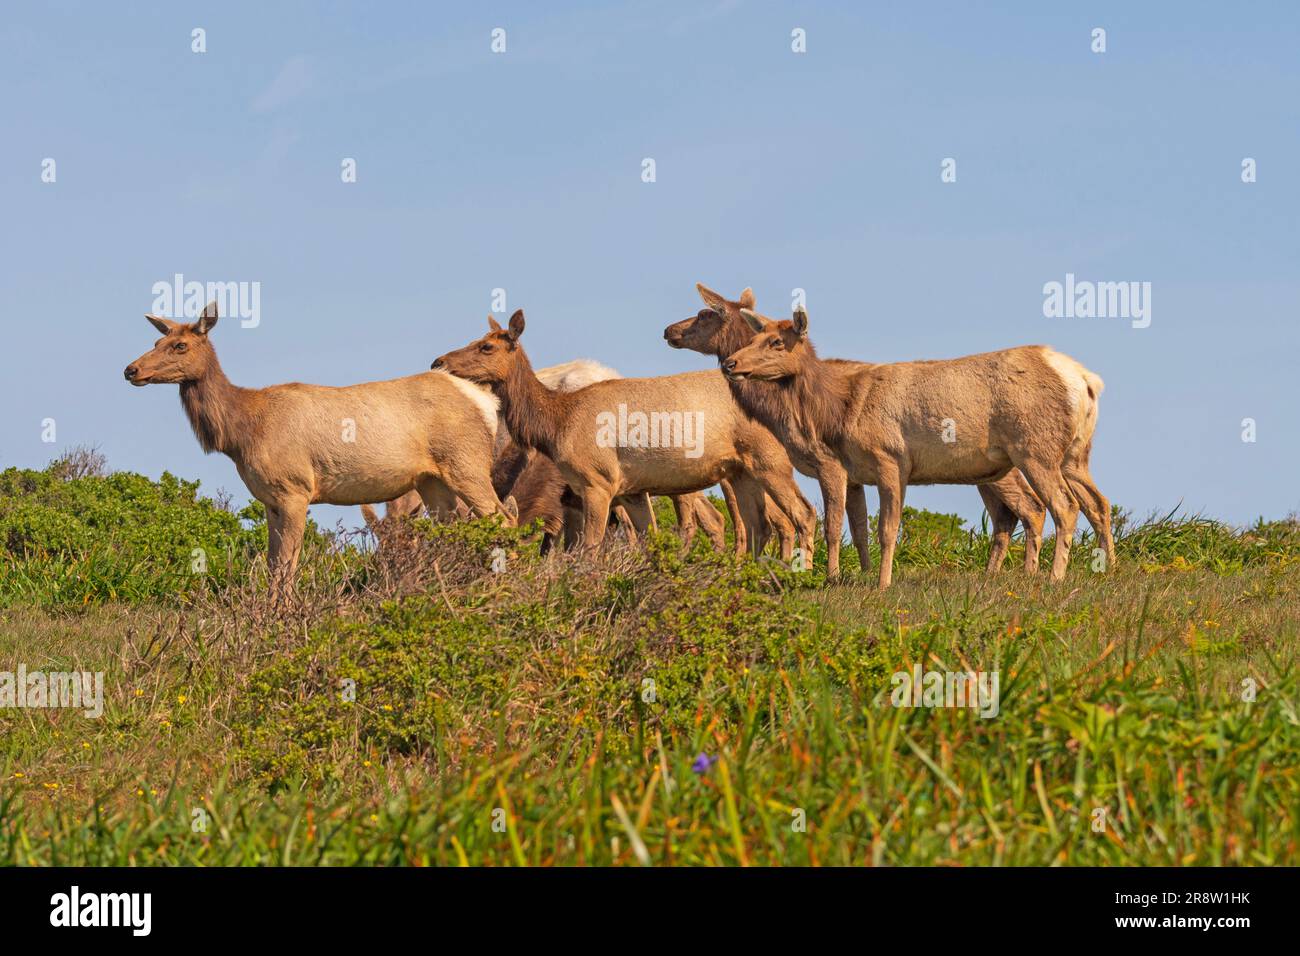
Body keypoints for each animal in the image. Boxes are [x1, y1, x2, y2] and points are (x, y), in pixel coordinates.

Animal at [124, 301, 512, 601]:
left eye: (180, 346)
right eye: (157, 339)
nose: (131, 369)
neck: (242, 433)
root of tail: (485, 402)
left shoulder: (295, 489)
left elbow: (287, 562)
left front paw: (281, 614)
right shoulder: (269, 499)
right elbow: (272, 561)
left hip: (466, 462)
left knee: (503, 518)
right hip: (432, 480)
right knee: (456, 529)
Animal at [431, 310, 818, 556]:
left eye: (486, 346)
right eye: (477, 338)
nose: (439, 361)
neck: (556, 424)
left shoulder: (597, 483)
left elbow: (588, 549)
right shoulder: (631, 491)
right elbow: (647, 542)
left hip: (770, 461)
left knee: (803, 514)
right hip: (740, 471)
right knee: (759, 526)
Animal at [666, 284, 1050, 578]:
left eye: (704, 314)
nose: (669, 330)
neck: (783, 415)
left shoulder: (830, 464)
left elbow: (833, 525)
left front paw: (830, 576)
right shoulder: (854, 473)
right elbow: (859, 528)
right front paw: (862, 575)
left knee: (1030, 507)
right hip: (985, 474)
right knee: (1005, 517)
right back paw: (991, 575)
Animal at [721, 305, 1113, 586]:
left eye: (776, 342)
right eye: (755, 337)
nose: (730, 362)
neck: (839, 412)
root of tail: (1086, 380)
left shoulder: (890, 458)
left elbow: (884, 528)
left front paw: (878, 583)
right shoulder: (858, 470)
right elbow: (859, 527)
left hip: (1035, 448)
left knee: (1064, 505)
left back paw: (1054, 578)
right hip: (1075, 454)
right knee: (1098, 502)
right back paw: (1107, 569)